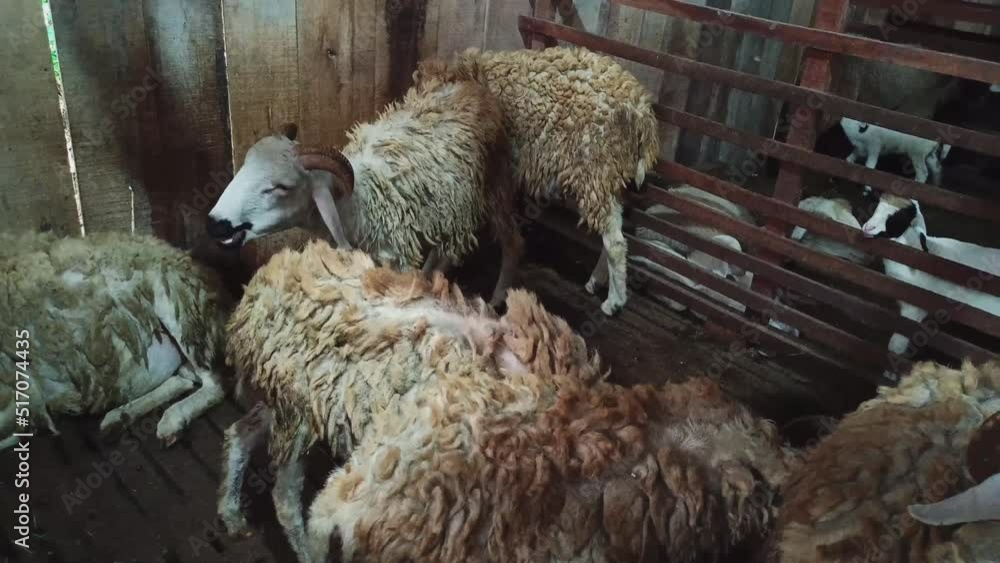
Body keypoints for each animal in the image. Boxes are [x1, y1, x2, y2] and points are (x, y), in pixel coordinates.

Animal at [207, 76, 522, 306]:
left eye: (280, 187)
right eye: (243, 169)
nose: (214, 224)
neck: (357, 206)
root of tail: (471, 86)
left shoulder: (394, 256)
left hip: (497, 186)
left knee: (512, 243)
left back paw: (497, 298)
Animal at [218, 240, 799, 563]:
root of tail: (261, 285)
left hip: (283, 400)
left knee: (241, 432)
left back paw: (231, 511)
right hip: (297, 415)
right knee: (285, 495)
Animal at [414, 46, 660, 316]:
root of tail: (640, 111)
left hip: (596, 169)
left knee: (615, 242)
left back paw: (613, 302)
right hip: (609, 178)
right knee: (615, 233)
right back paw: (597, 281)